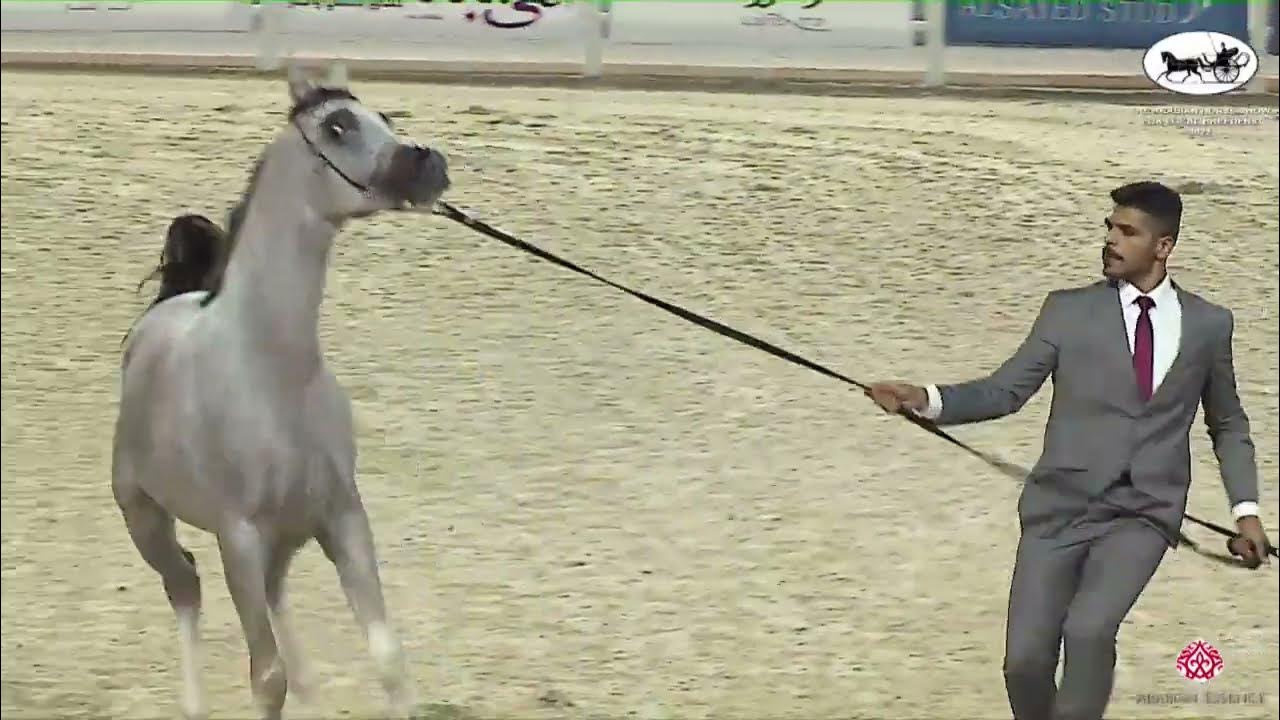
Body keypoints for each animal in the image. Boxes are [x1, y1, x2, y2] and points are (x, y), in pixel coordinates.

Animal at [112, 64, 450, 720]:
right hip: (144, 518)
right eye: (337, 125)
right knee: (184, 587)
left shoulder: (342, 517)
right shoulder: (237, 536)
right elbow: (267, 679)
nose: (429, 164)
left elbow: (388, 658)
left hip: (285, 537)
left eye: (385, 118)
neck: (271, 373)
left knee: (272, 594)